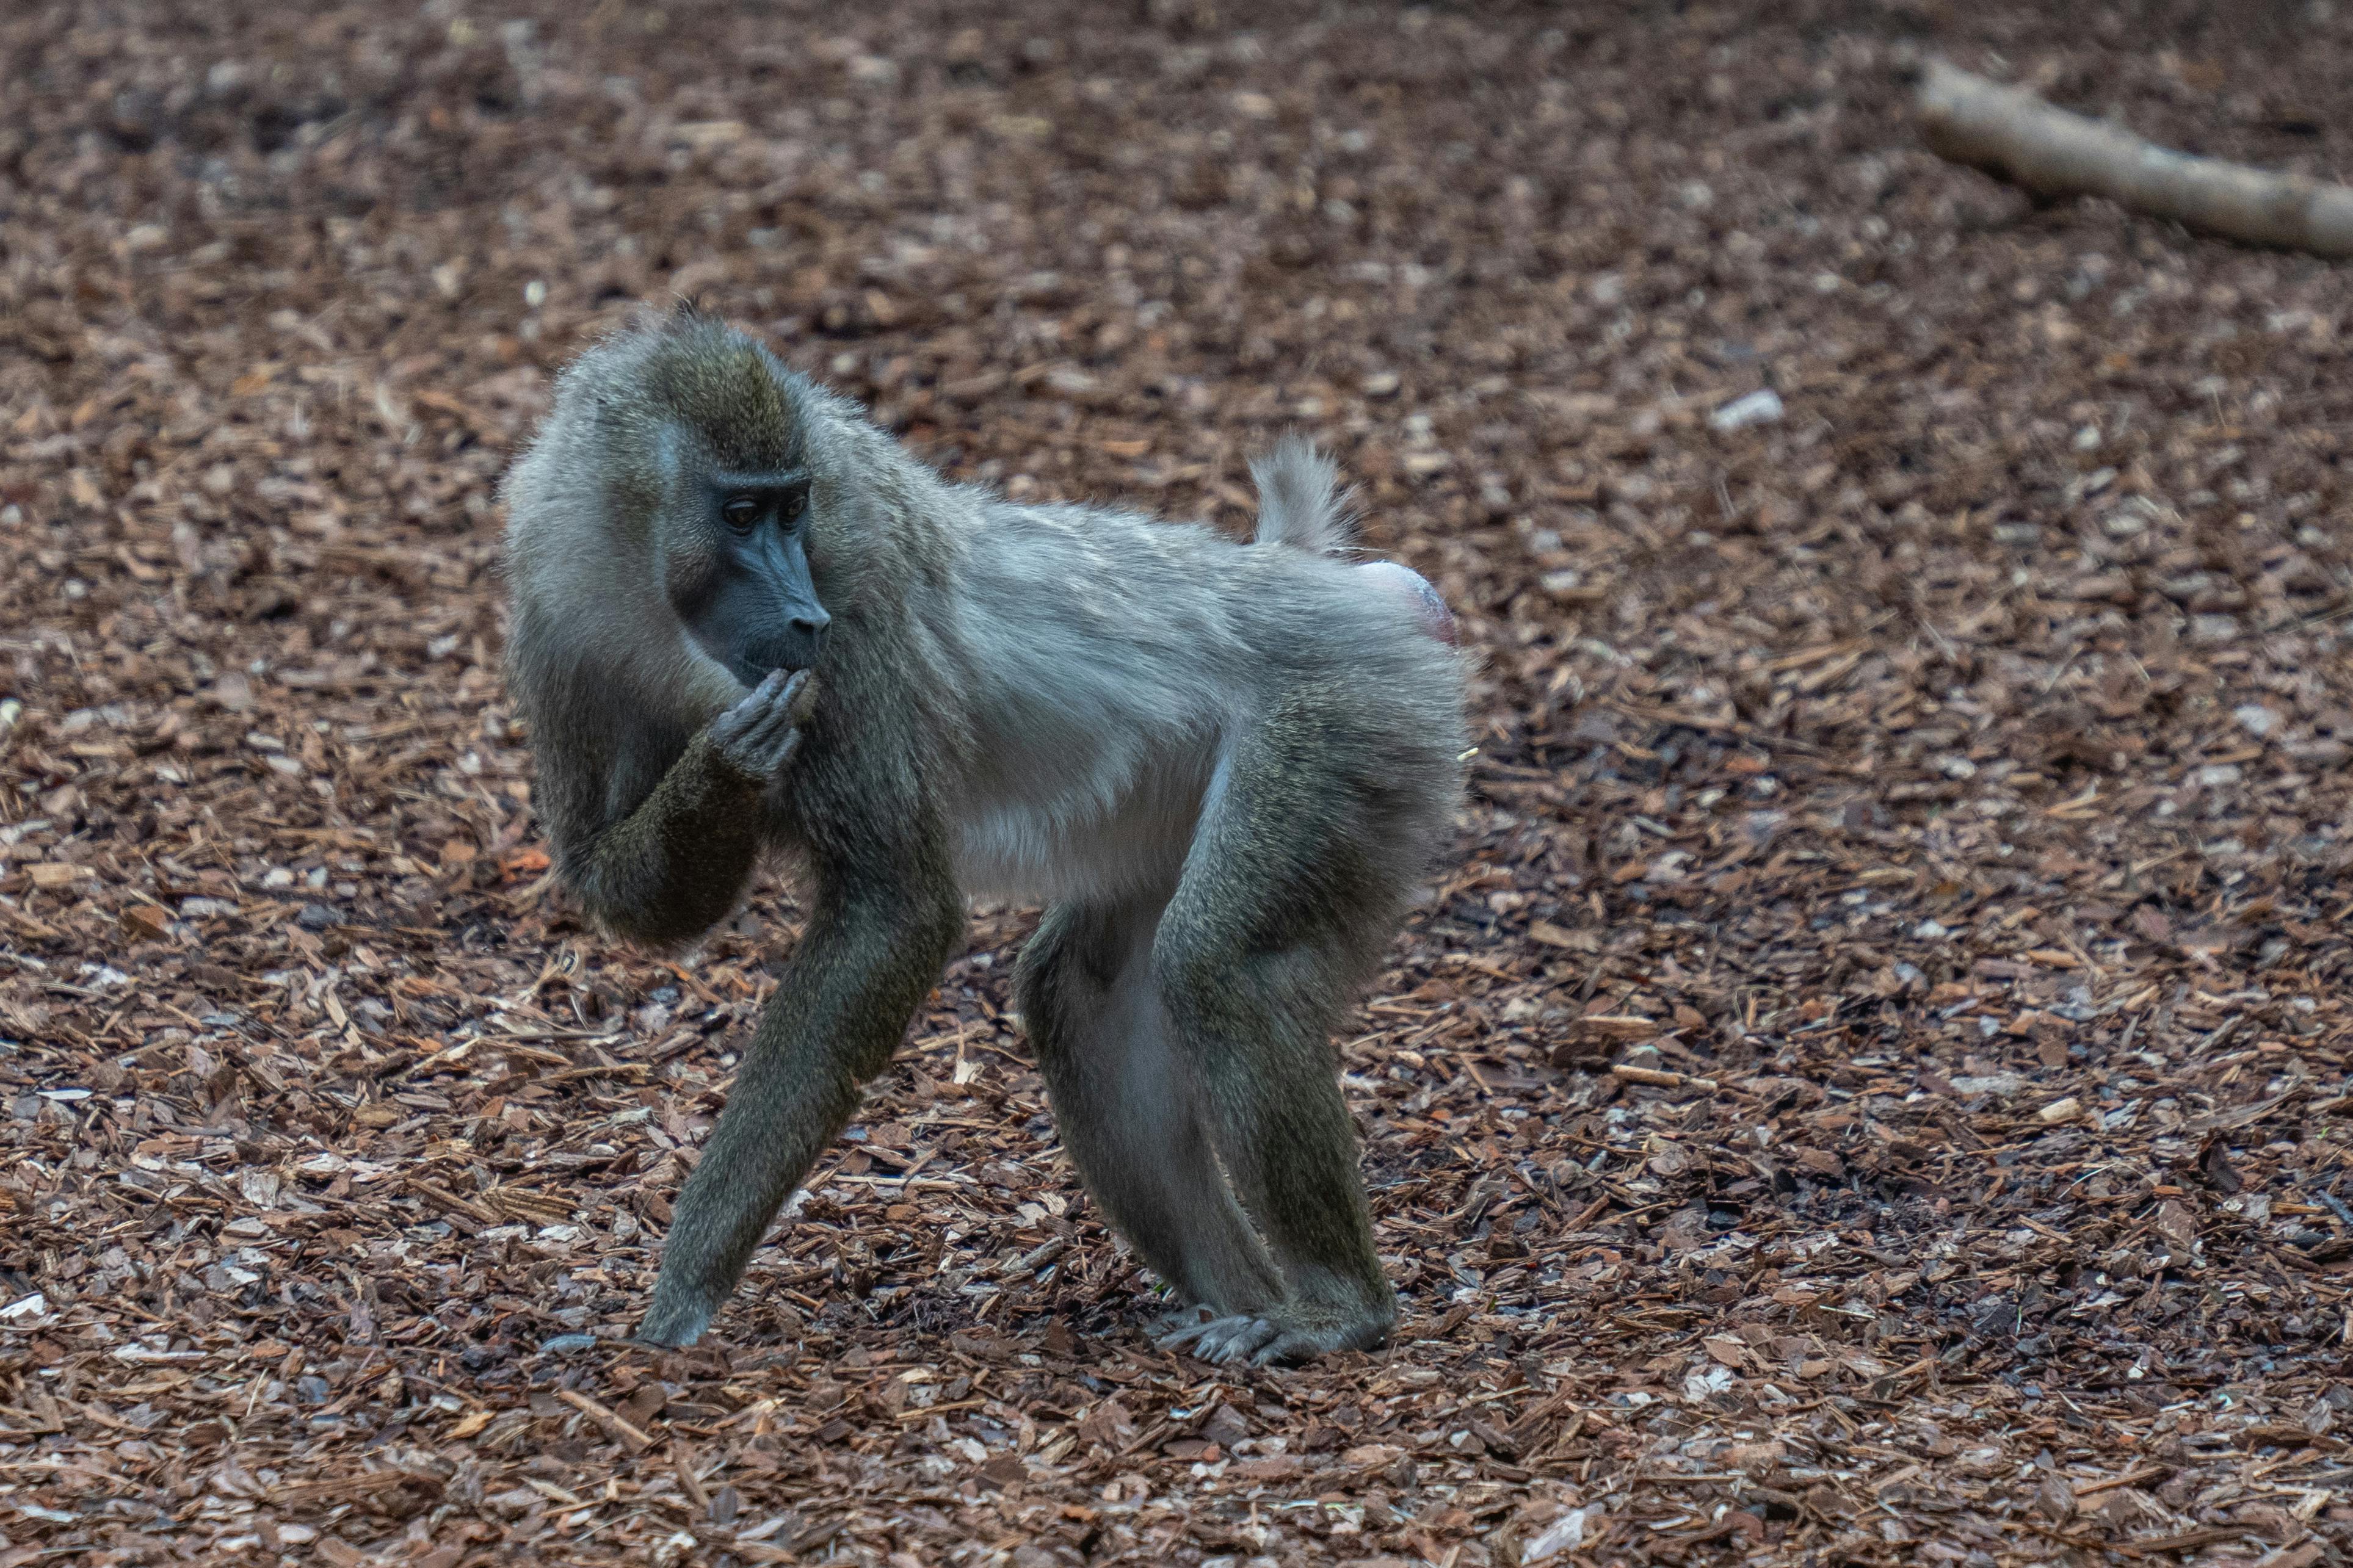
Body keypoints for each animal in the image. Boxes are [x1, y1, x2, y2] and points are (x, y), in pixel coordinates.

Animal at [500, 306, 1471, 1365]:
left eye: (794, 512)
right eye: (741, 517)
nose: (802, 613)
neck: (647, 595)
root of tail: (1346, 592)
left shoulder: (857, 594)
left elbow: (894, 910)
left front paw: (681, 1298)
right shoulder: (558, 613)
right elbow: (615, 889)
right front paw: (722, 766)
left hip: (1342, 719)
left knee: (1220, 964)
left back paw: (1339, 1309)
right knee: (1080, 993)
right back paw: (1242, 1296)